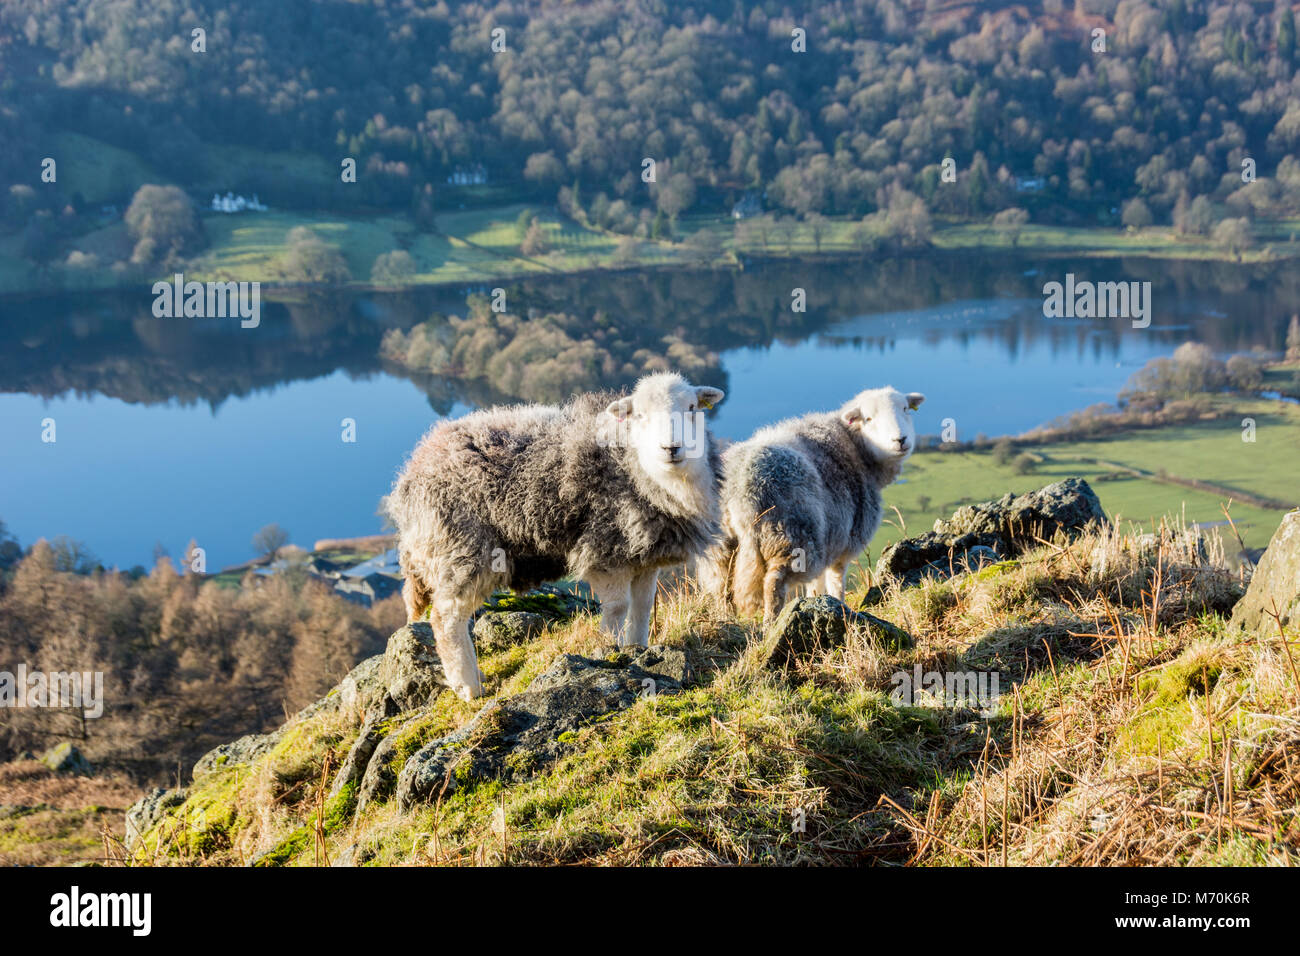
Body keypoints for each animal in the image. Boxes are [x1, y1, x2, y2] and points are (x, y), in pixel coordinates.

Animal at [387, 372, 726, 700]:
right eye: (639, 415)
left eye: (692, 408)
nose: (671, 448)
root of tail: (414, 467)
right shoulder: (605, 550)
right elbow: (619, 607)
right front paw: (610, 651)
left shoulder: (644, 555)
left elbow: (642, 607)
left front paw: (638, 649)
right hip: (461, 546)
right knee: (446, 619)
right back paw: (468, 687)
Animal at [700, 386, 925, 621]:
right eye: (869, 418)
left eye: (906, 409)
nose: (900, 439)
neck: (857, 449)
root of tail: (736, 489)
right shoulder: (843, 542)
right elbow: (835, 581)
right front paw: (840, 605)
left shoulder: (827, 539)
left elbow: (816, 583)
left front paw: (815, 600)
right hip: (789, 536)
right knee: (774, 583)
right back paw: (771, 623)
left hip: (721, 548)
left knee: (721, 589)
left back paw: (726, 620)